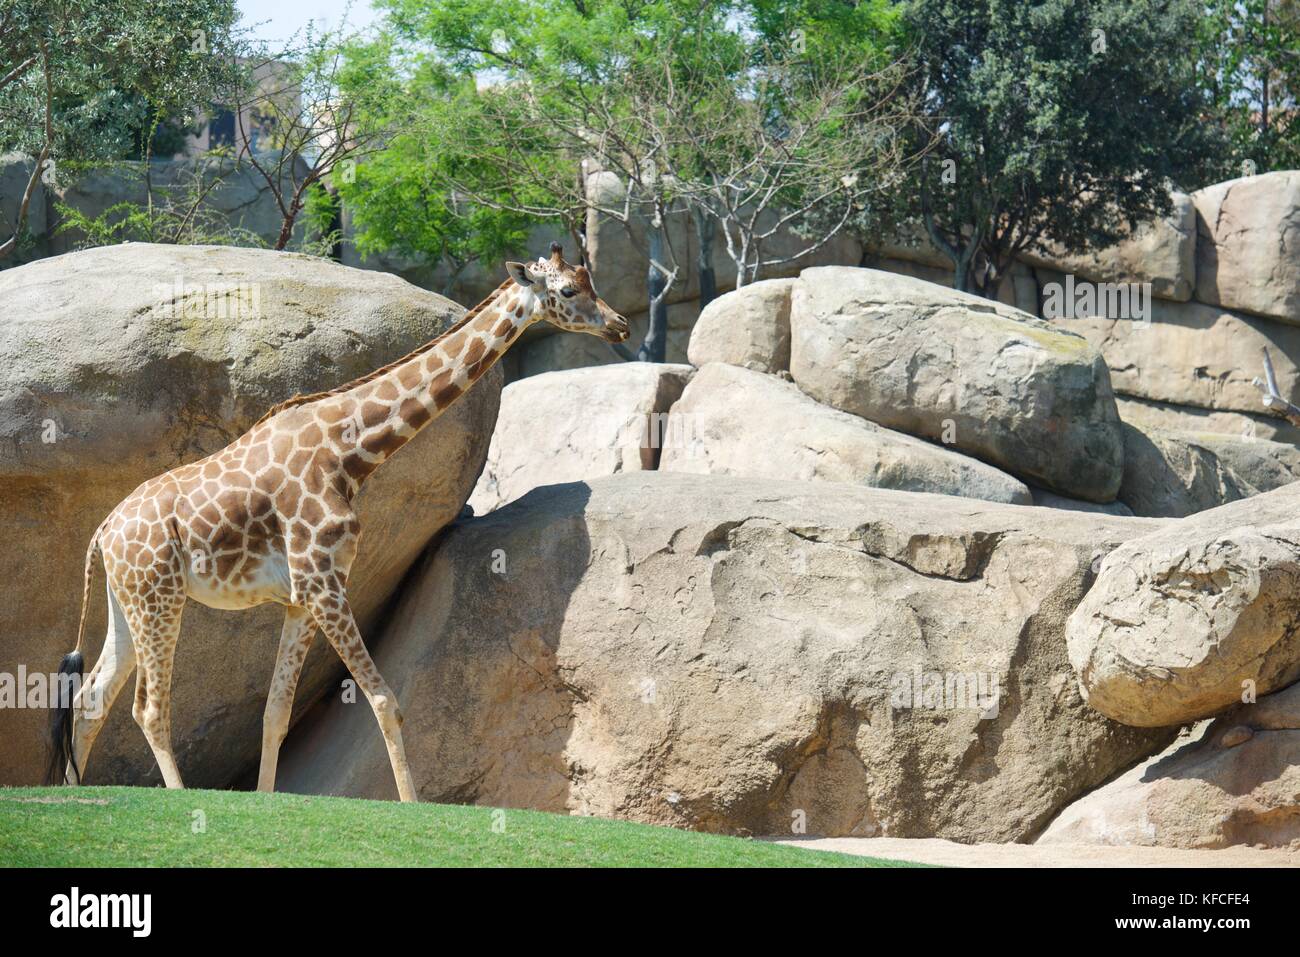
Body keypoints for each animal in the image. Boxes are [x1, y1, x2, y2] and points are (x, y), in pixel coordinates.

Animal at [46, 243, 629, 801]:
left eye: (592, 282)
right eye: (569, 289)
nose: (620, 324)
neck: (350, 451)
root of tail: (103, 532)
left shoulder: (303, 597)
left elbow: (276, 714)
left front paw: (264, 801)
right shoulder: (324, 584)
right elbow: (385, 699)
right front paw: (413, 804)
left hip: (130, 602)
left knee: (92, 697)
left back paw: (72, 795)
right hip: (158, 599)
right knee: (147, 707)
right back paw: (176, 794)